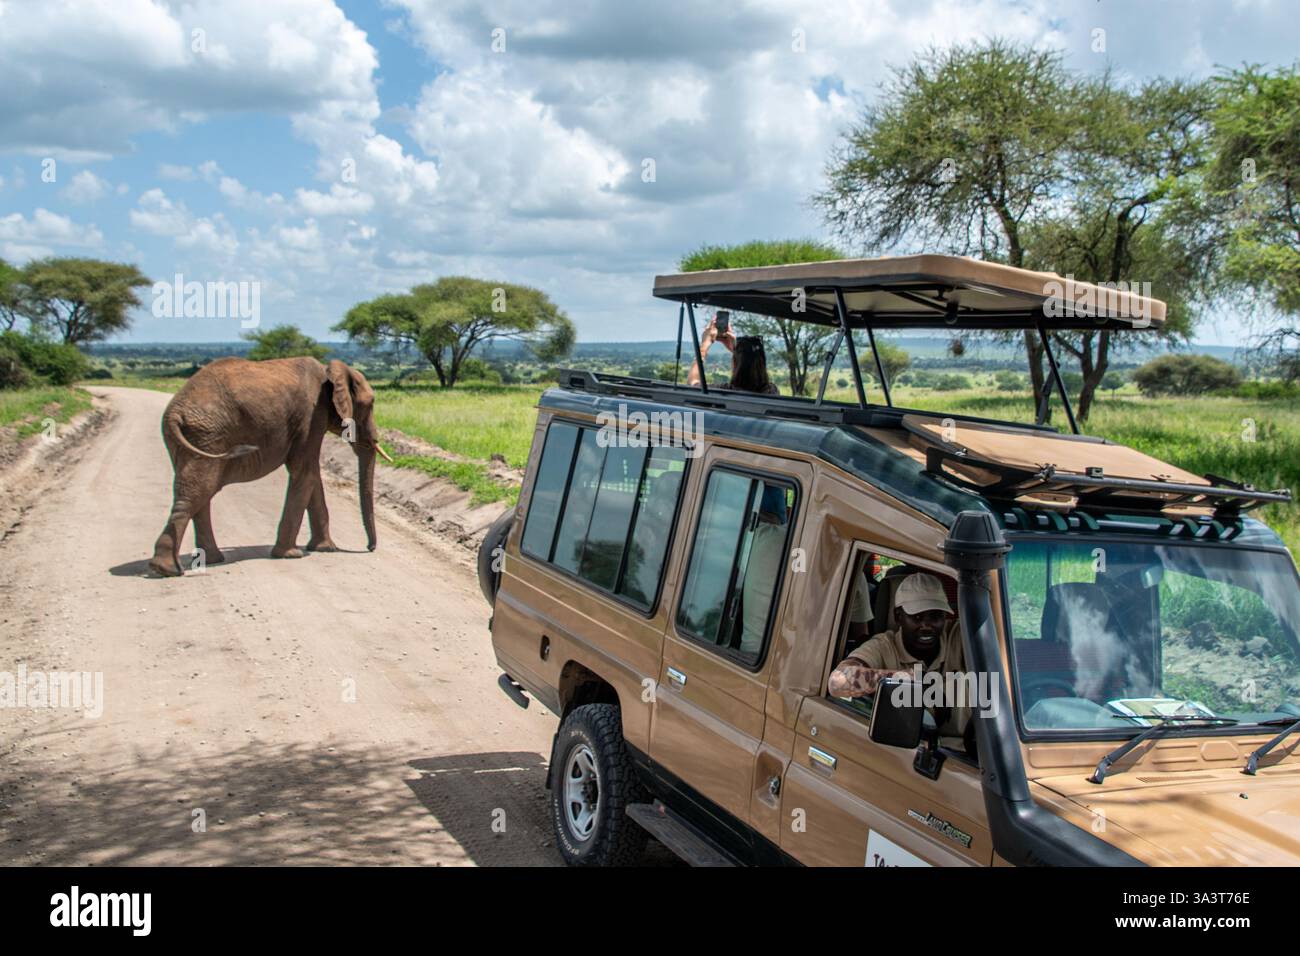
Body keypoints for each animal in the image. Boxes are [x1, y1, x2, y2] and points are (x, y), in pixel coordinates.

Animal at [149, 356, 392, 577]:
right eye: (370, 404)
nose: (370, 548)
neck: (331, 370)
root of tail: (174, 413)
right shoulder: (312, 416)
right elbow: (304, 471)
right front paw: (292, 555)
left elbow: (311, 475)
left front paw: (325, 549)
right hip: (208, 435)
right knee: (198, 491)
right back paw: (168, 569)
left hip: (194, 439)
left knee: (199, 491)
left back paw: (208, 560)